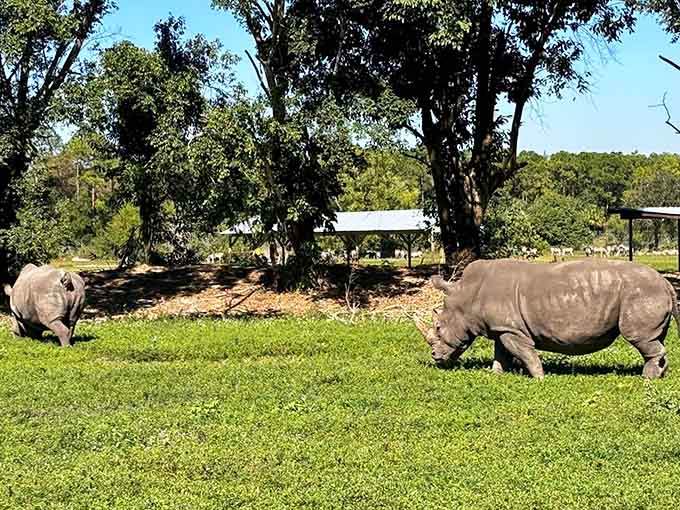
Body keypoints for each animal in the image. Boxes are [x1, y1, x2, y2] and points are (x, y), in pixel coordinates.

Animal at [415, 259, 678, 379]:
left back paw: (647, 378)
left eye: (438, 327)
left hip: (641, 293)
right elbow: (501, 352)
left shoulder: (512, 330)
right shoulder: (503, 327)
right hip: (648, 292)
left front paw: (539, 378)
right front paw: (496, 375)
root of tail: (666, 283)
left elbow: (524, 352)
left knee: (640, 338)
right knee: (656, 339)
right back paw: (658, 375)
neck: (466, 296)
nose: (435, 356)